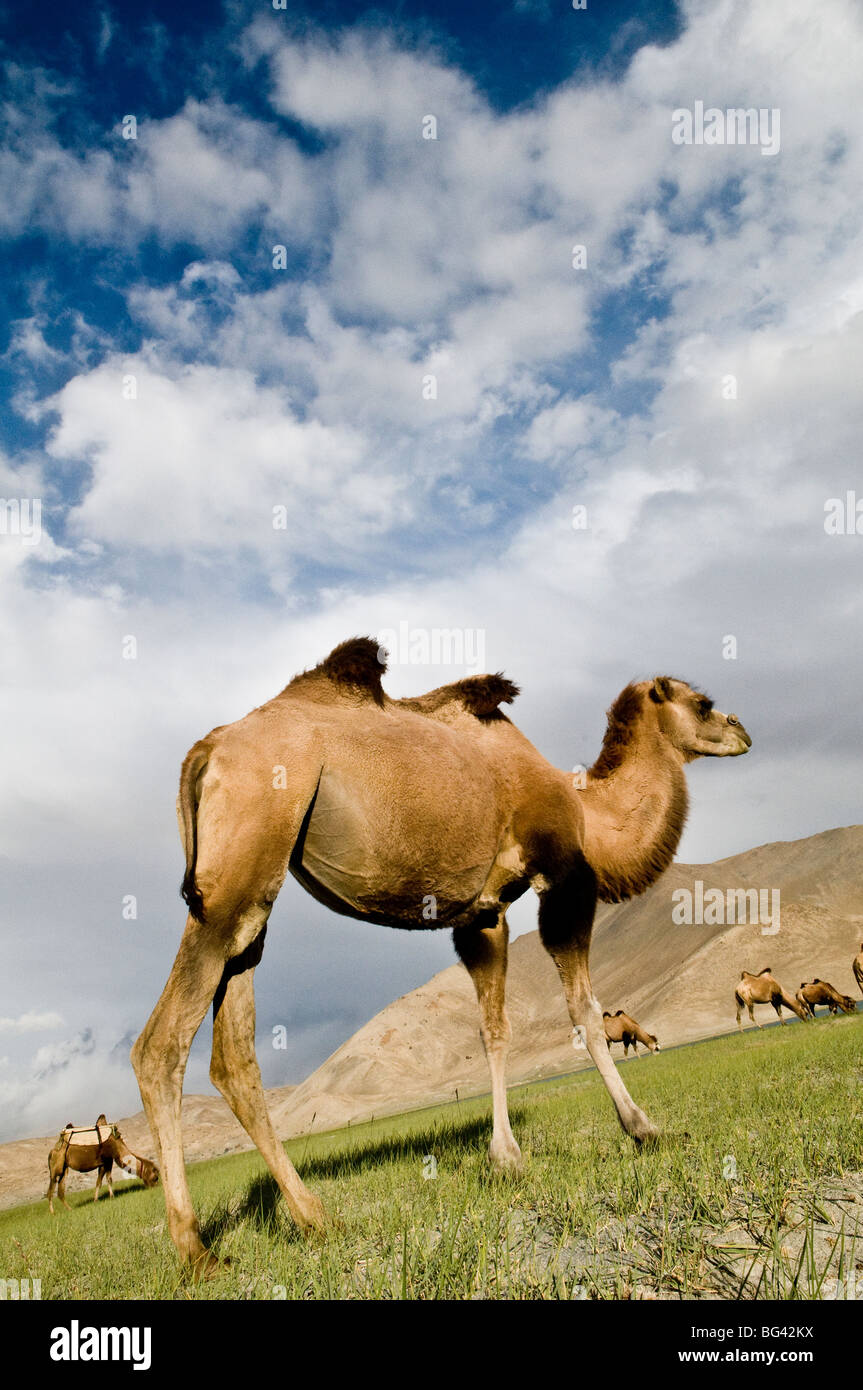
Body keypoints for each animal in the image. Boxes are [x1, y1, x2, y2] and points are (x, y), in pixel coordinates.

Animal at [131, 637, 751, 1273]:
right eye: (703, 703)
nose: (742, 729)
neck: (585, 811)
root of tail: (205, 750)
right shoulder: (565, 880)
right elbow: (585, 1013)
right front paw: (644, 1128)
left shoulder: (484, 914)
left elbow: (494, 1029)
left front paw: (505, 1158)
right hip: (241, 868)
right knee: (161, 1044)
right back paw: (197, 1250)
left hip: (250, 898)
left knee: (233, 1051)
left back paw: (315, 1217)